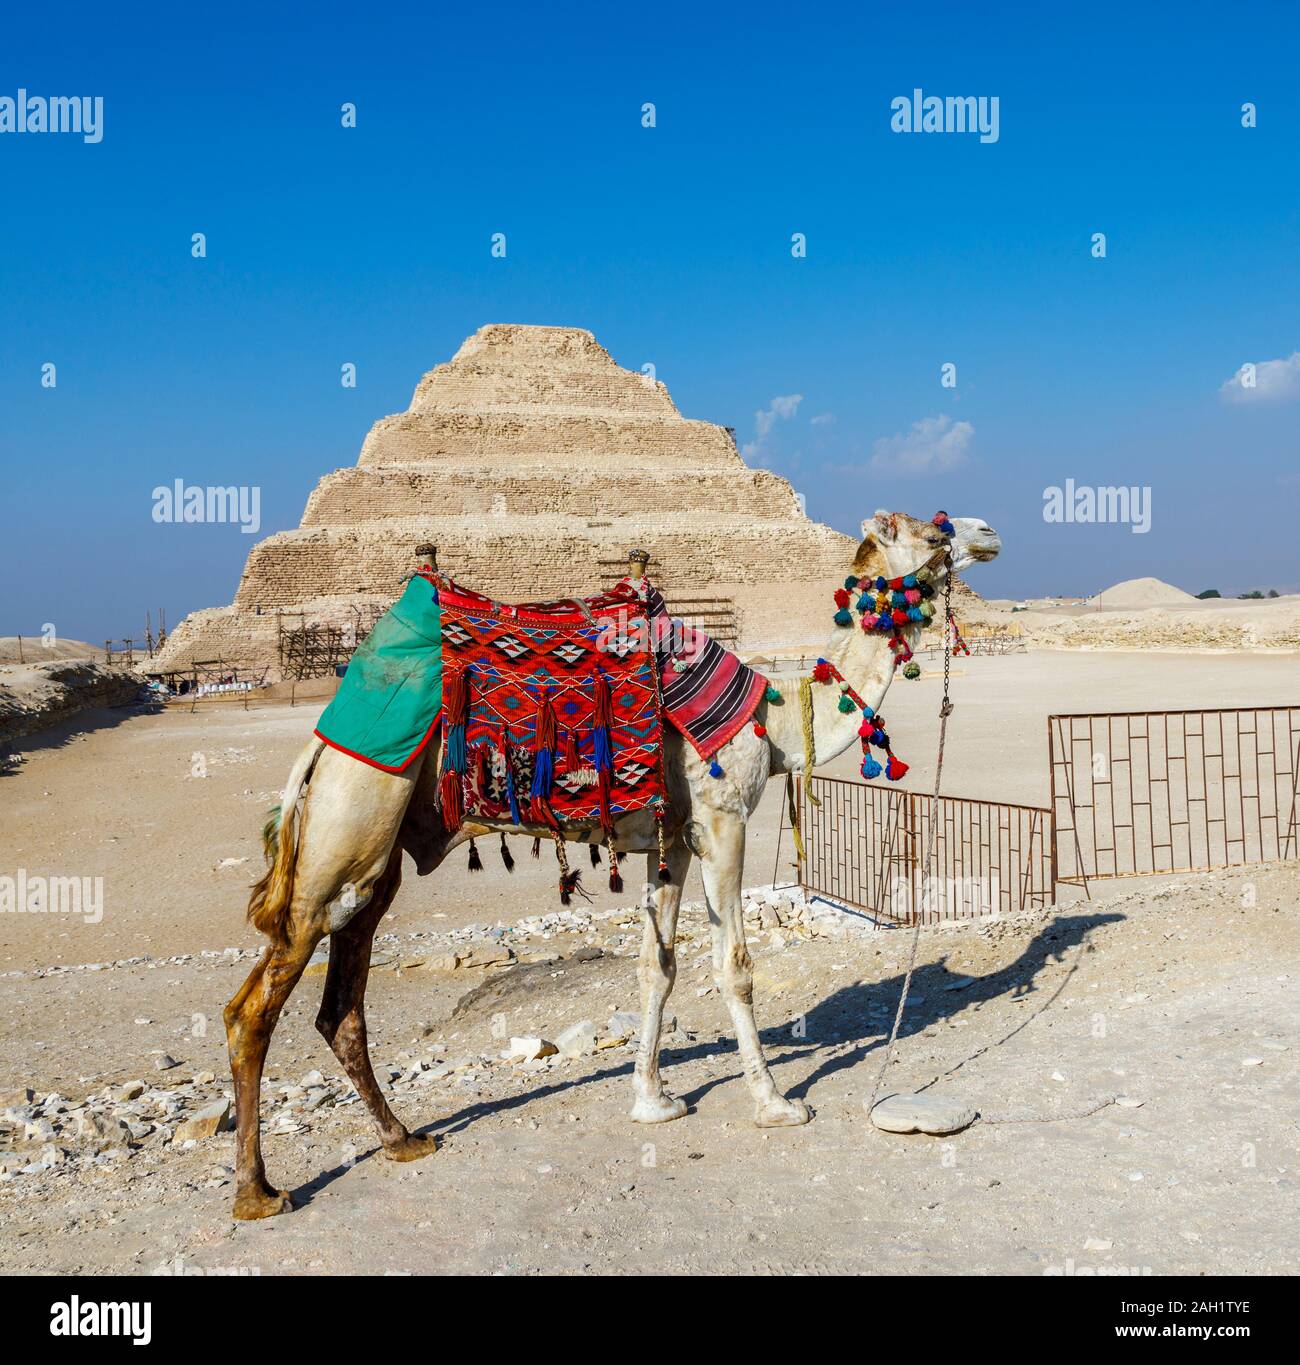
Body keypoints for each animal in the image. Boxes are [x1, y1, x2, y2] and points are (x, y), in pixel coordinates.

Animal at [224, 509, 1001, 1219]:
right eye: (933, 530)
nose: (989, 532)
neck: (774, 721)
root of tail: (318, 746)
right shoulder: (722, 819)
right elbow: (734, 966)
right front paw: (775, 1103)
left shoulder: (673, 841)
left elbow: (657, 967)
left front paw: (653, 1100)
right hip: (347, 824)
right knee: (252, 1009)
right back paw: (259, 1192)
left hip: (374, 858)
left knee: (341, 1007)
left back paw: (402, 1138)